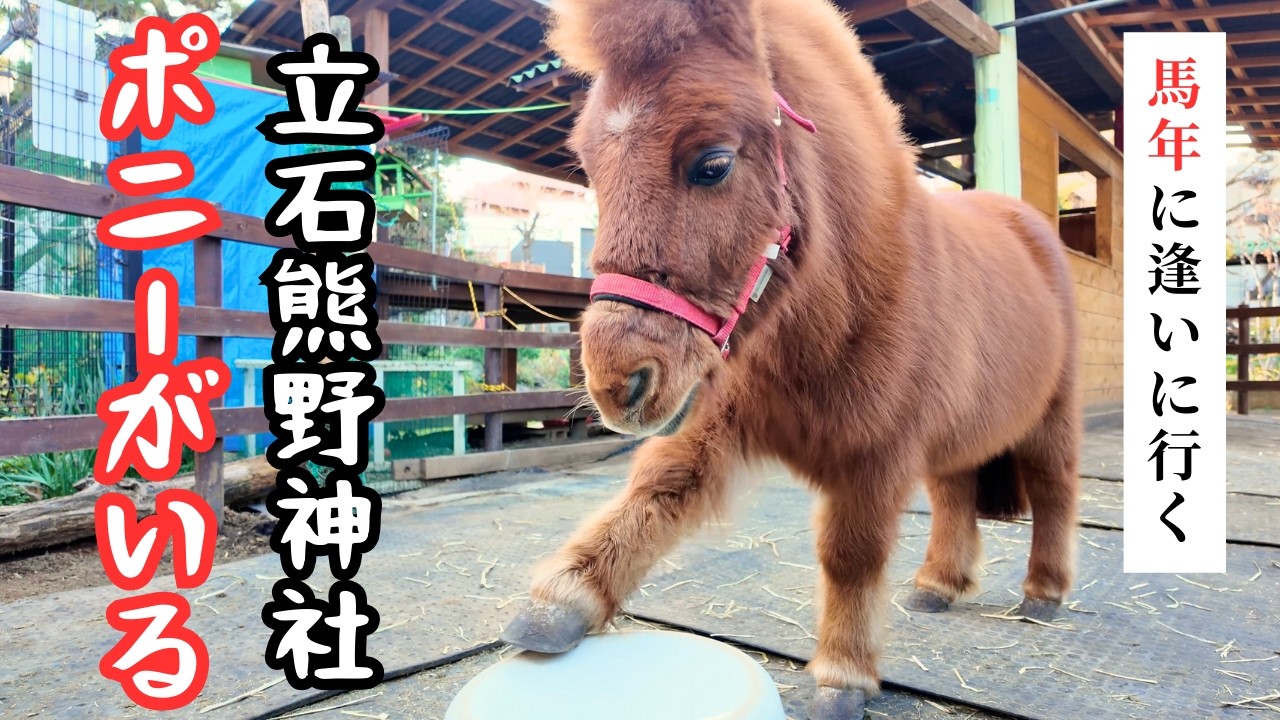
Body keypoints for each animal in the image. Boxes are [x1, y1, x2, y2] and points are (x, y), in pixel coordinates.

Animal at [501, 0, 1081, 716]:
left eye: (713, 164)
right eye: (589, 167)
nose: (616, 385)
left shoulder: (877, 454)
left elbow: (851, 552)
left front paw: (843, 675)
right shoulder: (716, 421)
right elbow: (658, 489)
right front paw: (563, 599)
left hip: (1050, 417)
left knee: (1053, 489)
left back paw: (1043, 593)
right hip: (959, 429)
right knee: (954, 491)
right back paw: (937, 584)